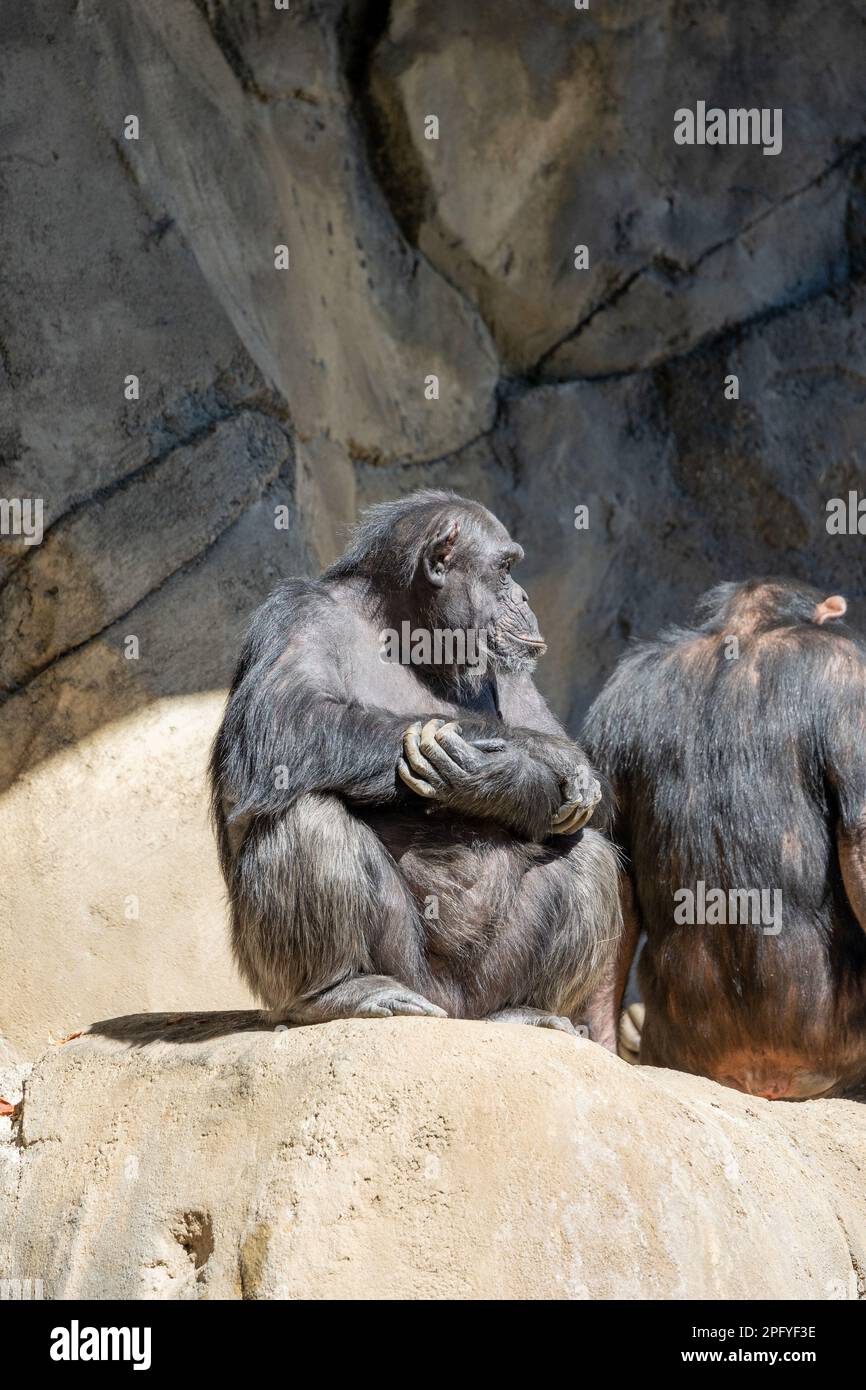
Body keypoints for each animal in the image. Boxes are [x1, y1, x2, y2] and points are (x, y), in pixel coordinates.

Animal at [210, 490, 621, 1031]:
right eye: (505, 568)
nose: (524, 597)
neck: (404, 632)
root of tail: (451, 1011)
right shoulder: (296, 614)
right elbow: (282, 719)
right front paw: (538, 759)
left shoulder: (510, 663)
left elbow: (586, 797)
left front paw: (502, 779)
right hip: (399, 966)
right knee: (305, 813)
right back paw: (340, 991)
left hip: (485, 985)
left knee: (589, 853)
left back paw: (526, 1010)